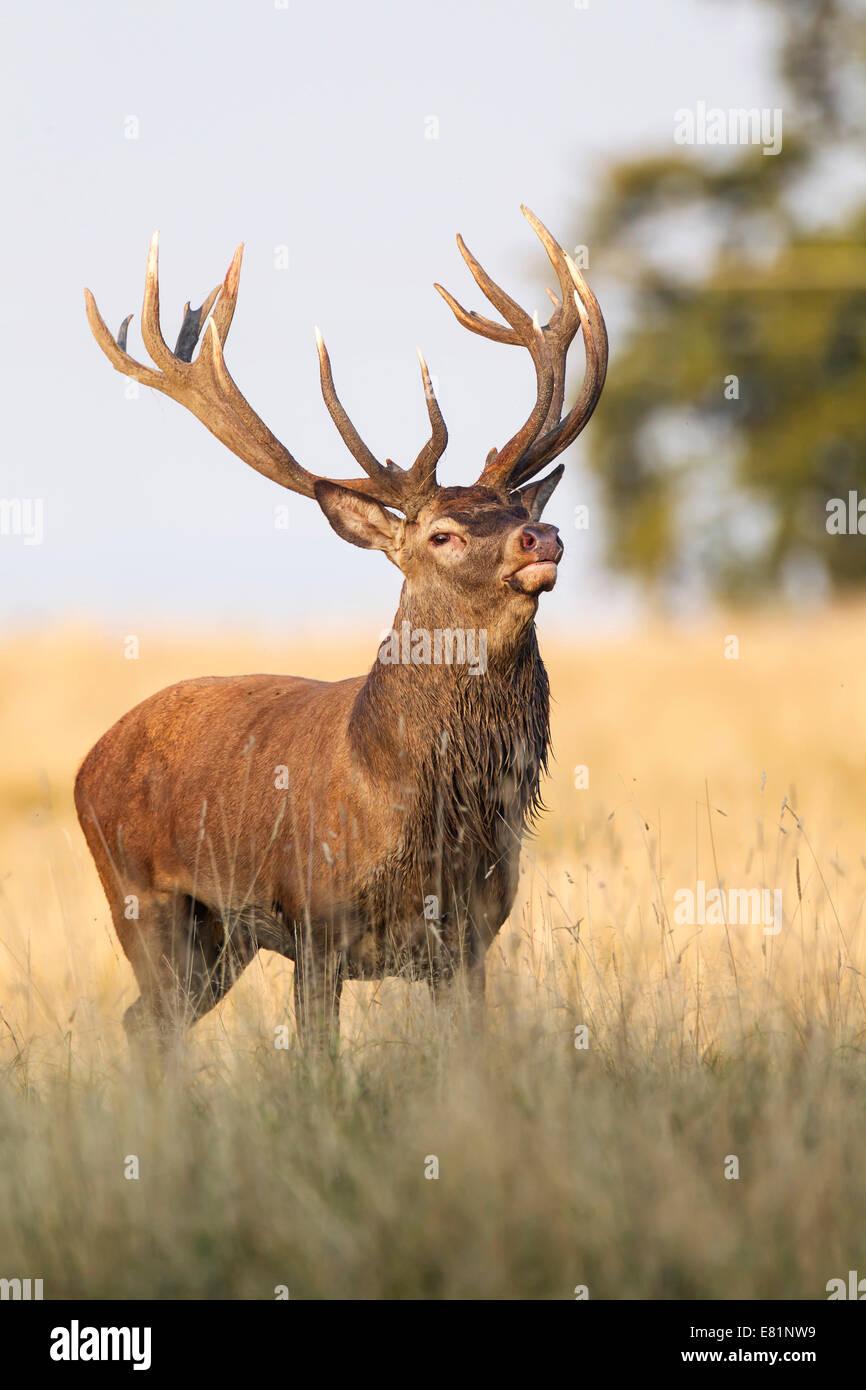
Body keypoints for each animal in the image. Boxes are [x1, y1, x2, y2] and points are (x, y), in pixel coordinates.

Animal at [75, 207, 608, 1048]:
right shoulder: (314, 928)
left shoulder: (470, 941)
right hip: (142, 898)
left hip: (219, 939)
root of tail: (88, 760)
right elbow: (318, 1062)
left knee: (147, 1022)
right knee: (146, 1017)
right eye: (442, 535)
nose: (543, 538)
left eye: (515, 508)